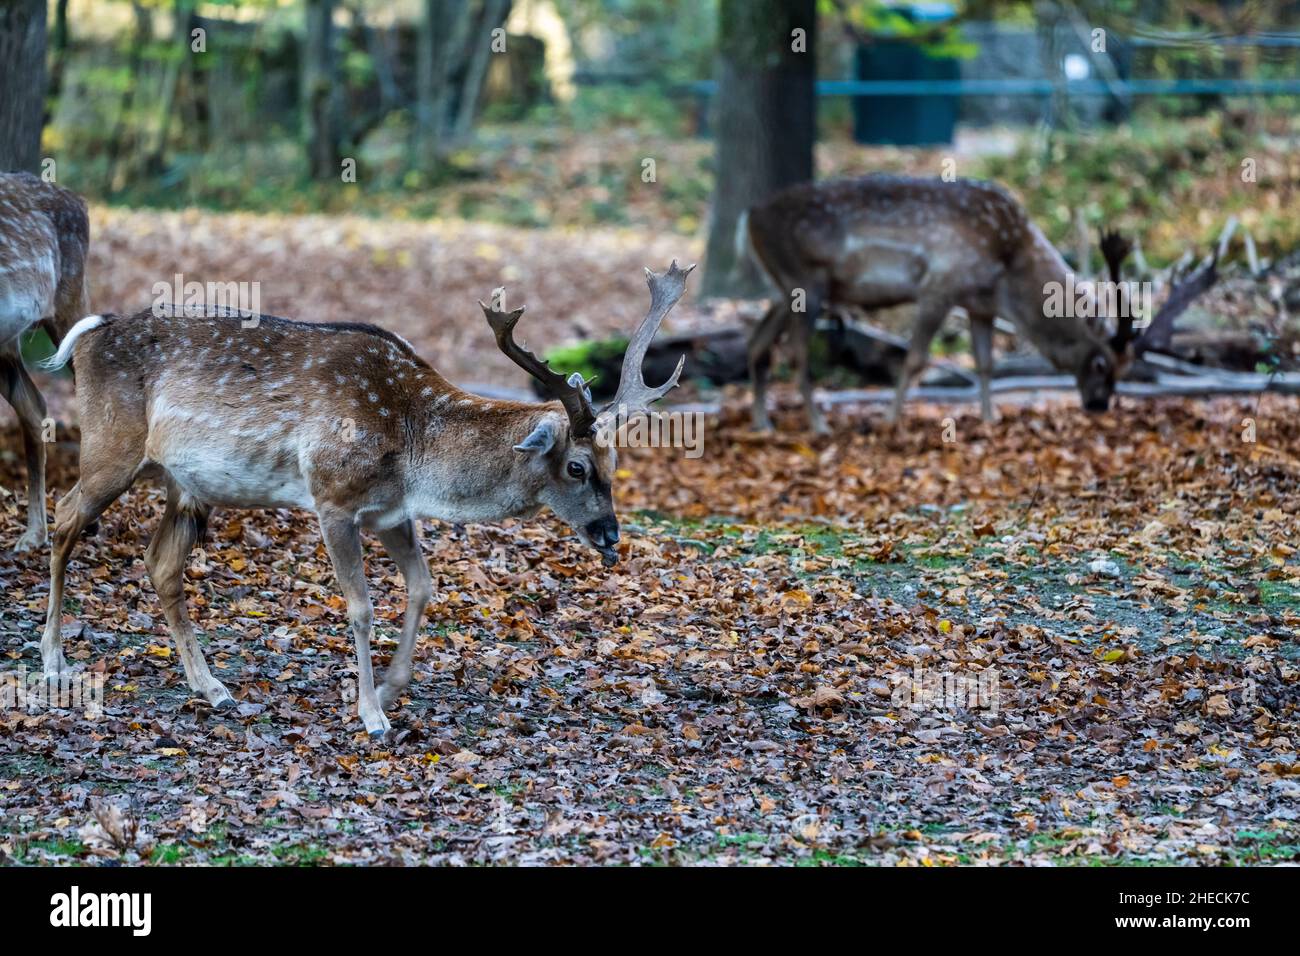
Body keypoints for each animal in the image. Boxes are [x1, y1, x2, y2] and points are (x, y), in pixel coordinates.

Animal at [38, 261, 693, 738]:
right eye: (577, 466)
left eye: (615, 465)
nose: (610, 535)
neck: (412, 449)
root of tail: (87, 337)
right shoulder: (332, 496)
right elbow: (359, 606)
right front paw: (371, 715)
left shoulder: (390, 513)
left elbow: (423, 586)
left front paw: (388, 689)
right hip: (109, 446)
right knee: (65, 518)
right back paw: (53, 661)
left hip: (186, 487)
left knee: (160, 562)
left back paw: (212, 687)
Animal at [741, 174, 1135, 433]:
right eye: (1101, 363)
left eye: (1125, 367)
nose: (1099, 405)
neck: (1008, 270)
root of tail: (748, 219)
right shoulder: (939, 285)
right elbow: (916, 358)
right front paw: (889, 420)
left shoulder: (979, 305)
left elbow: (986, 363)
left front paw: (990, 418)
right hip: (806, 281)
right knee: (796, 351)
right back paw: (818, 424)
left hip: (783, 288)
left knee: (758, 342)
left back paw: (762, 422)